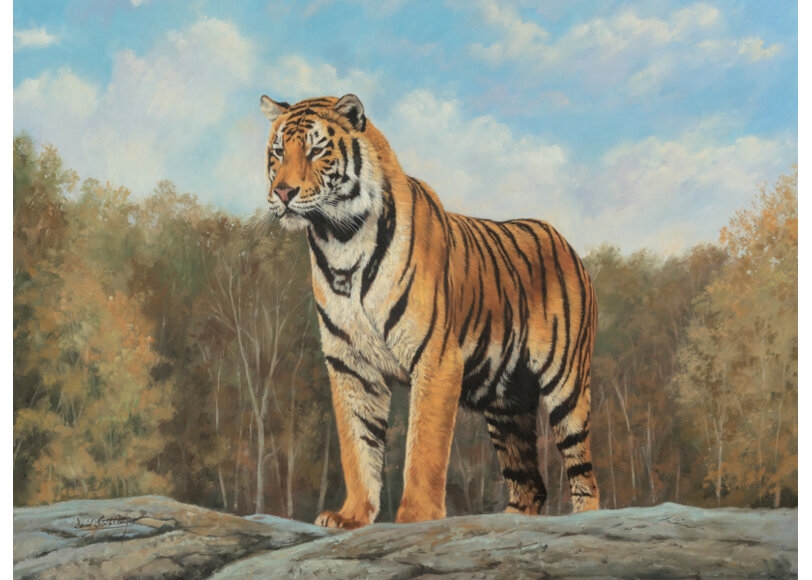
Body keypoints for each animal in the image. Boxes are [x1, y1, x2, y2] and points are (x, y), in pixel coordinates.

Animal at [260, 93, 600, 528]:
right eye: (278, 152)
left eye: (316, 150)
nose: (283, 192)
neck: (339, 241)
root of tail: (564, 240)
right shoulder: (350, 365)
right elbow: (357, 444)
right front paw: (351, 515)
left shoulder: (436, 359)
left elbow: (424, 448)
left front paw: (416, 517)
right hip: (507, 402)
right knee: (528, 483)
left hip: (566, 384)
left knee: (583, 471)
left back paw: (586, 519)